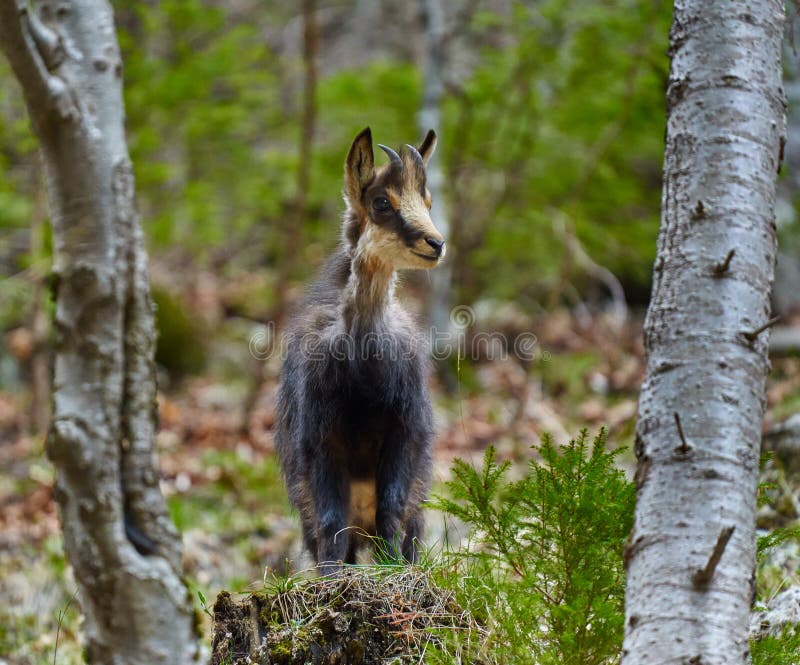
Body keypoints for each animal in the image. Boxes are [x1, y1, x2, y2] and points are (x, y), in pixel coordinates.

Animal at [275, 127, 444, 573]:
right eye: (382, 202)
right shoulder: (321, 436)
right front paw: (331, 579)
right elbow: (331, 521)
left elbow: (391, 508)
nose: (436, 243)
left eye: (428, 201)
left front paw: (393, 569)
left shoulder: (404, 429)